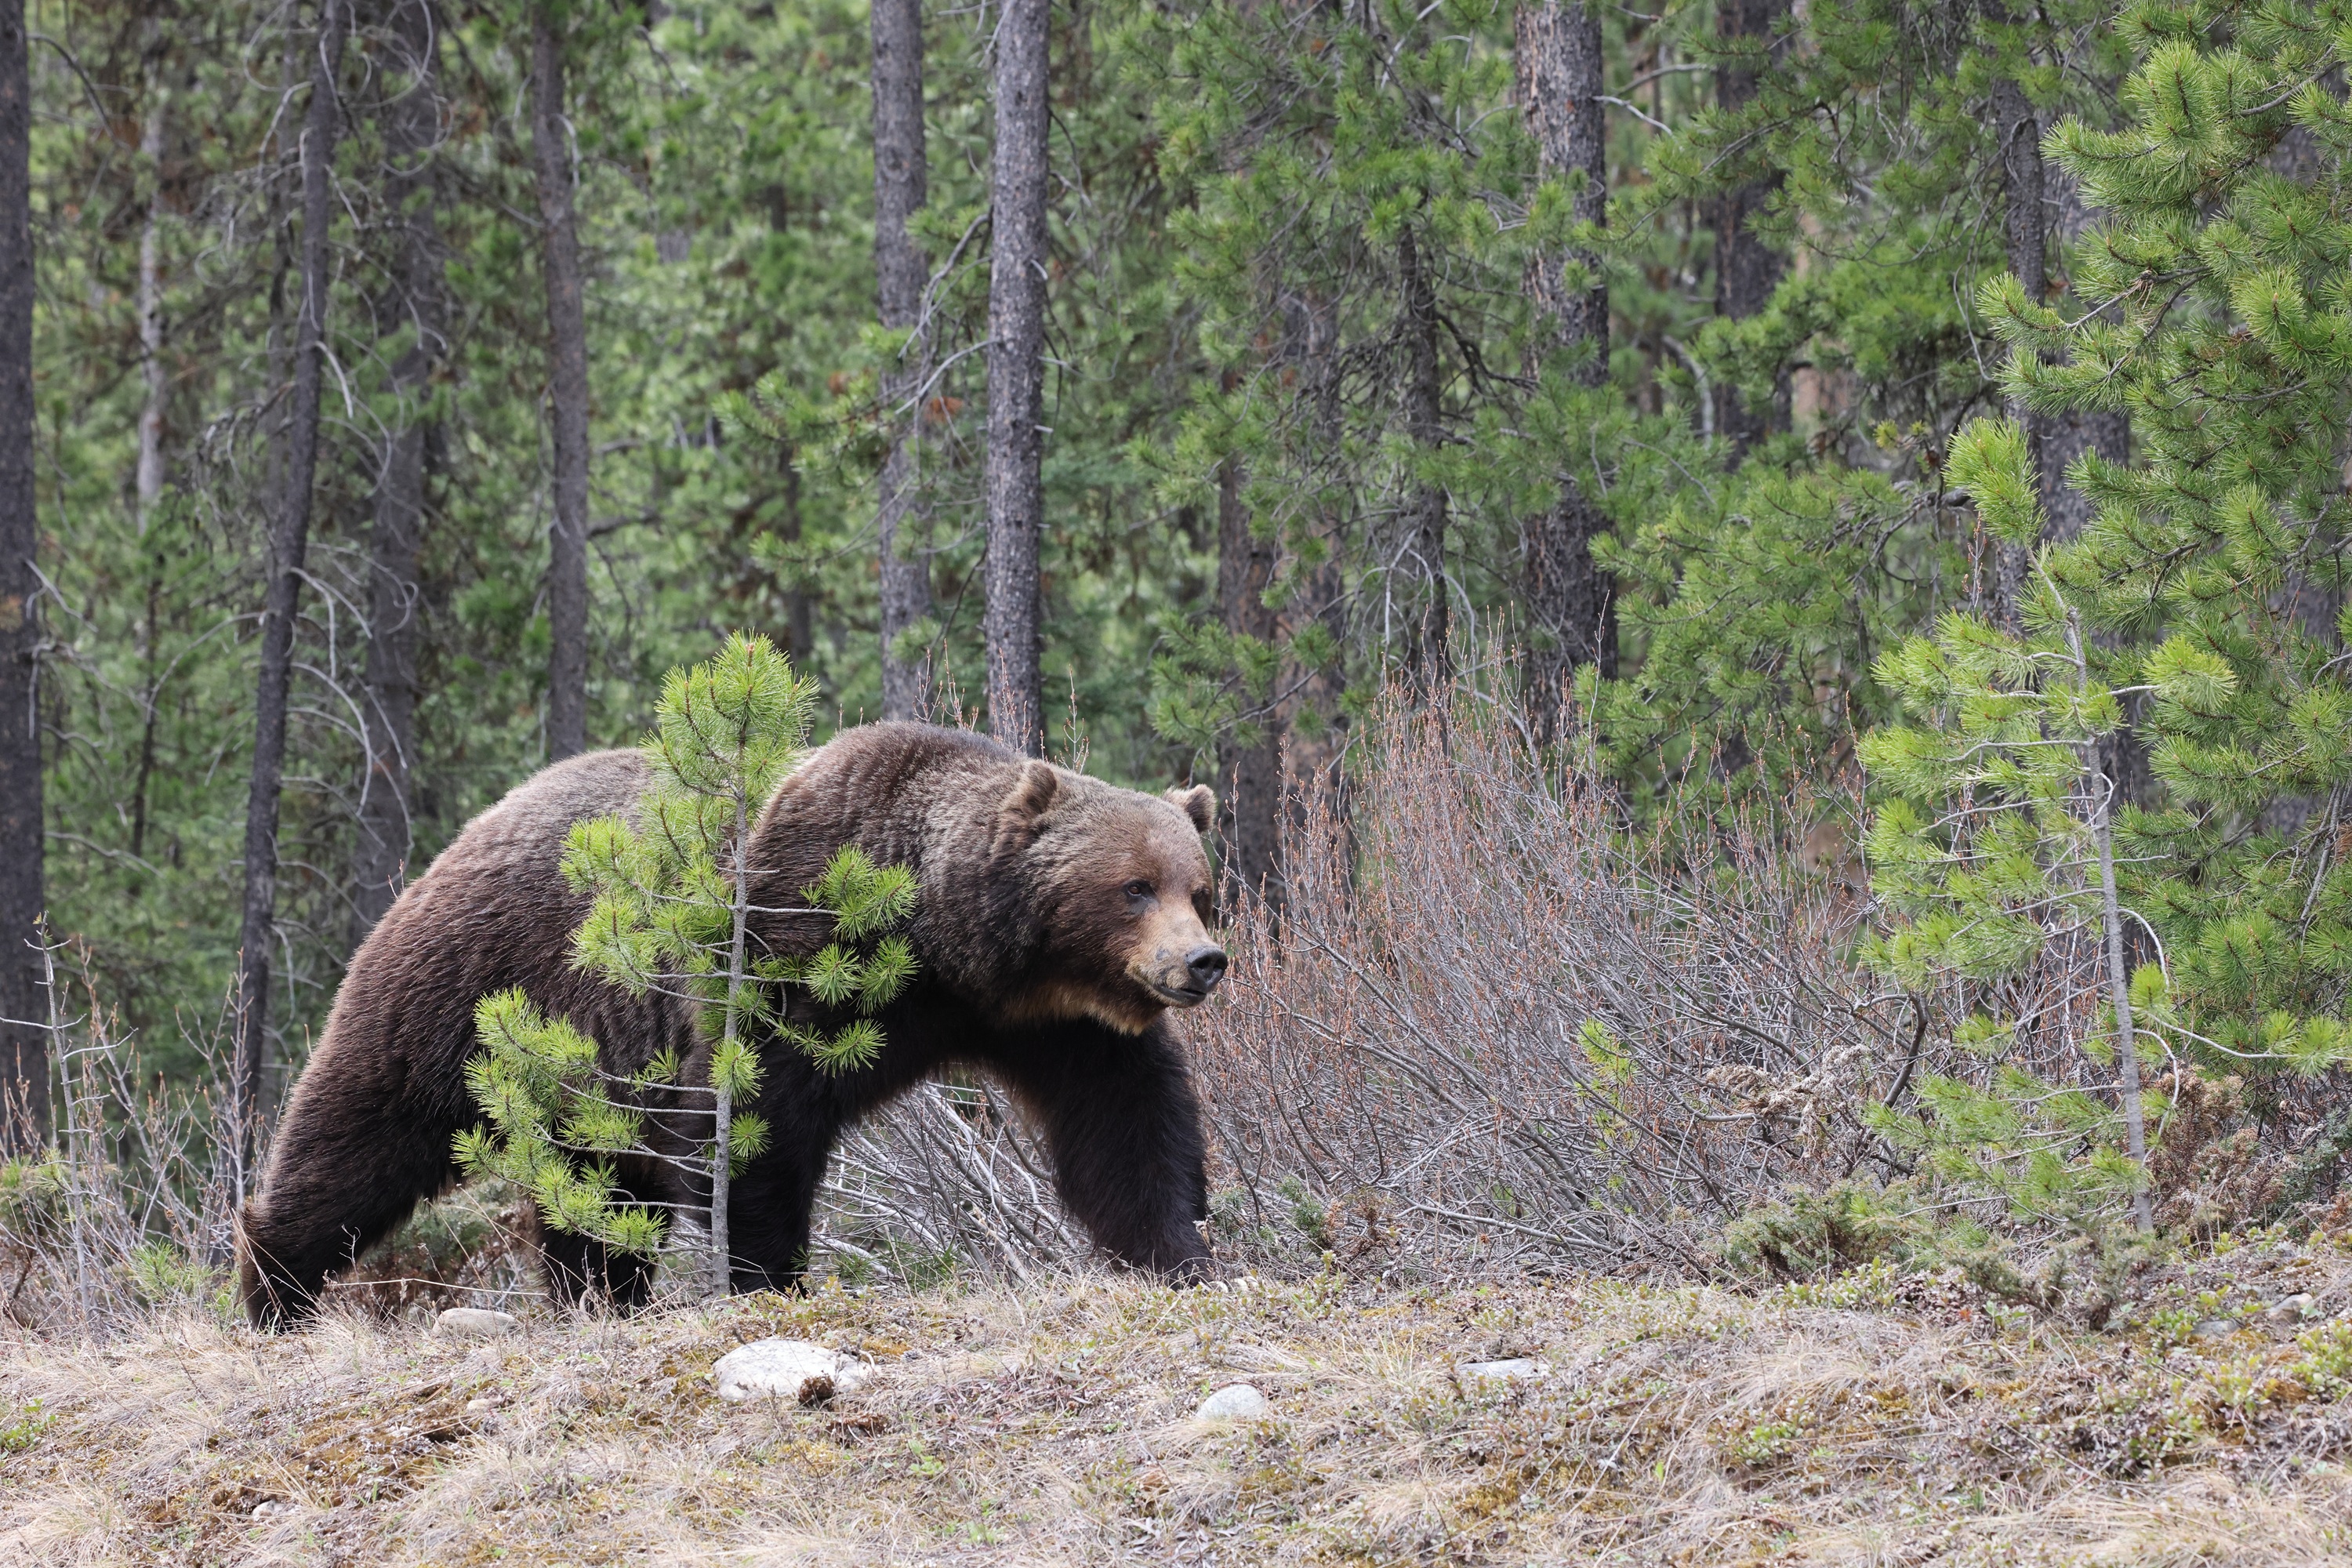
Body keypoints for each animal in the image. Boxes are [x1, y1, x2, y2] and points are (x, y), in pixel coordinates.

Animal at [237, 721, 1227, 1325]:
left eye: (1200, 886)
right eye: (1133, 885)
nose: (1202, 962)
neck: (941, 939)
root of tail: (475, 823)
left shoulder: (1057, 1021)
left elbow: (1126, 1125)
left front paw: (1182, 1250)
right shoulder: (786, 953)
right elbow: (754, 1124)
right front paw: (769, 1274)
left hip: (588, 1074)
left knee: (595, 1194)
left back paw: (601, 1294)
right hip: (467, 991)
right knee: (363, 1133)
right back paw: (276, 1285)